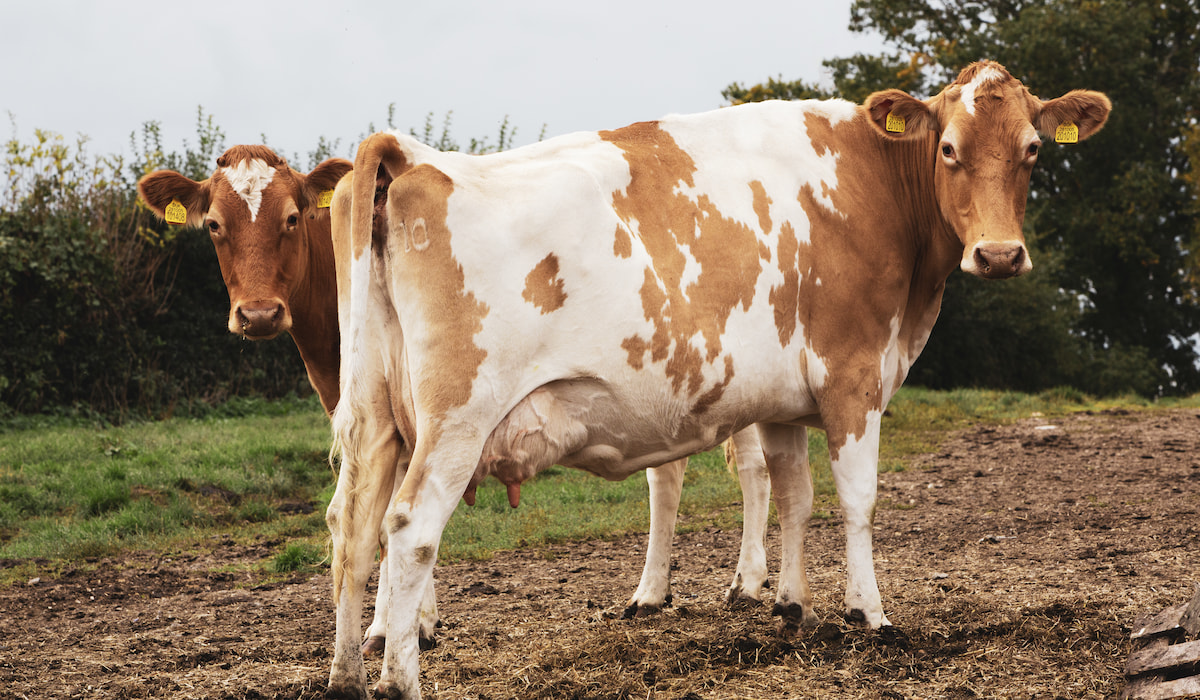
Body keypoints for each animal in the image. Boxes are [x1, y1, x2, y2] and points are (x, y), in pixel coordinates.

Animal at [135, 146, 774, 652]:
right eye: (213, 225)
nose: (260, 313)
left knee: (751, 468)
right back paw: (651, 592)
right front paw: (402, 624)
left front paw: (402, 626)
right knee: (667, 475)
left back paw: (747, 580)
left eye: (292, 218)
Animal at [325, 60, 1110, 698]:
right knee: (409, 528)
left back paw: (346, 676)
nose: (1000, 254)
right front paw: (871, 614)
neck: (872, 185)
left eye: (1033, 151)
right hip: (457, 419)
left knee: (352, 528)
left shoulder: (785, 398)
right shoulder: (852, 375)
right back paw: (399, 680)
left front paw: (791, 604)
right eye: (949, 150)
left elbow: (794, 496)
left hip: (378, 419)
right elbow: (857, 500)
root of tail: (419, 162)